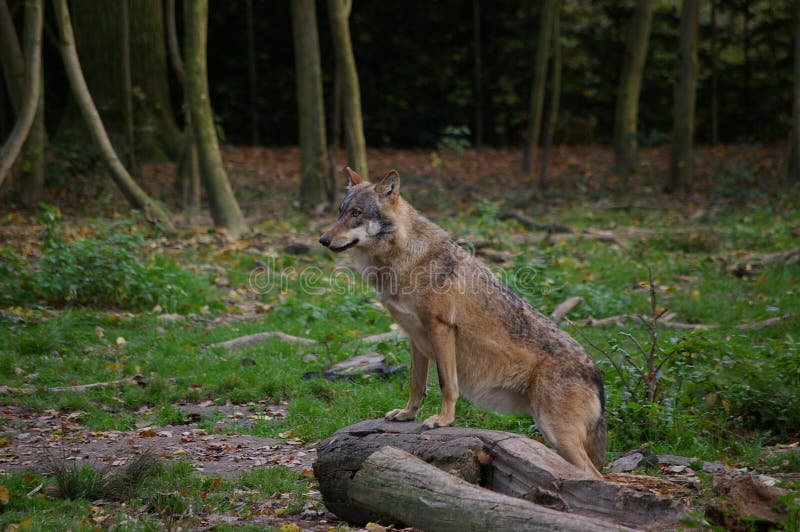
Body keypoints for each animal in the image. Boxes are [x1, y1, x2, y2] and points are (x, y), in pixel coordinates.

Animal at [319, 167, 607, 477]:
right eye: (341, 212)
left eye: (357, 213)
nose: (323, 240)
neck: (405, 259)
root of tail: (597, 374)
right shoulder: (415, 337)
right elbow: (416, 383)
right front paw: (407, 415)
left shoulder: (441, 329)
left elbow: (447, 383)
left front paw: (443, 420)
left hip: (555, 432)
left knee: (596, 476)